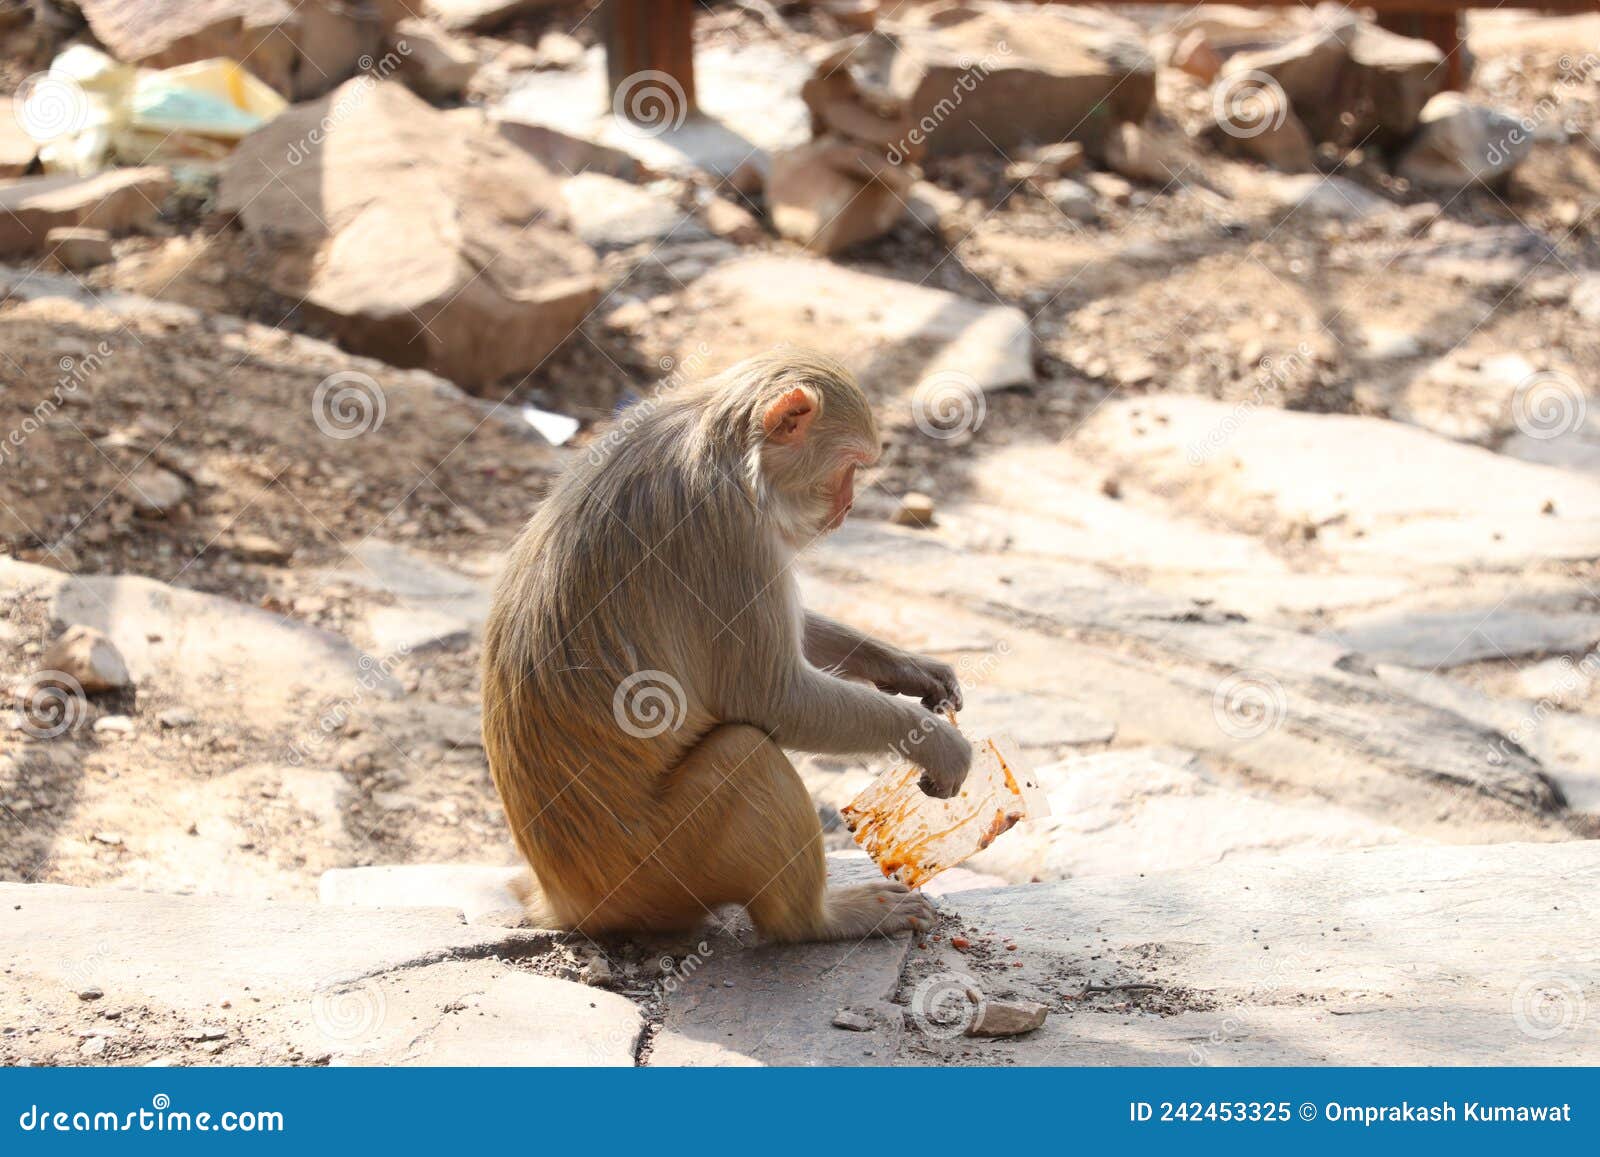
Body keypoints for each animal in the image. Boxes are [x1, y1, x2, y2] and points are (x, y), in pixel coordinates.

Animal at [481, 349, 972, 943]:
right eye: (851, 465)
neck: (727, 448)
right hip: (663, 870)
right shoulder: (732, 528)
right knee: (745, 752)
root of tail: (566, 902)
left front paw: (910, 668)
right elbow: (772, 697)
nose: (849, 507)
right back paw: (819, 921)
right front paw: (939, 744)